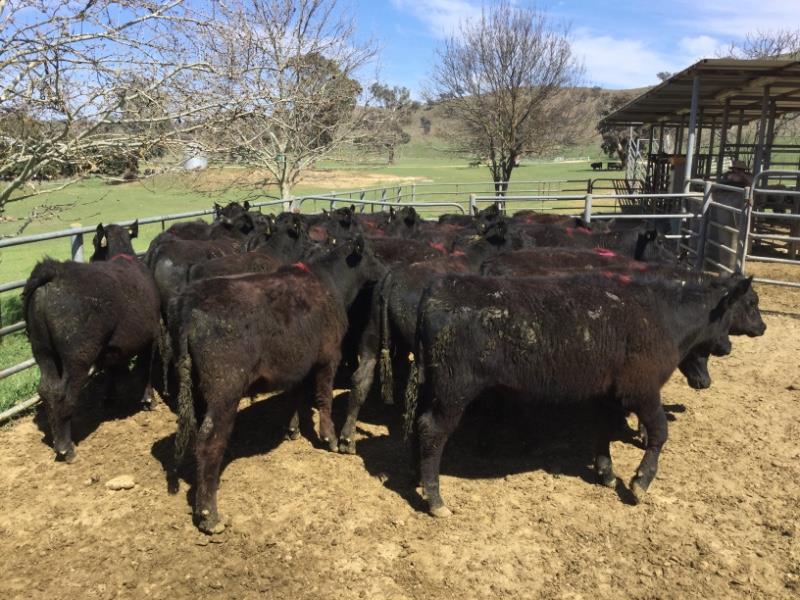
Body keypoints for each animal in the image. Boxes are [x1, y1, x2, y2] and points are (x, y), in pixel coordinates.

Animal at [23, 221, 160, 463]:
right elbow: (147, 370)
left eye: (95, 242)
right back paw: (65, 447)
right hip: (78, 355)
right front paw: (148, 400)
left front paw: (109, 396)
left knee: (47, 389)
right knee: (63, 394)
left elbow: (112, 368)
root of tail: (54, 274)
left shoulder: (114, 346)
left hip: (42, 350)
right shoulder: (151, 337)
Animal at [169, 236, 386, 534]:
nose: (386, 270)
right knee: (208, 441)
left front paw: (293, 429)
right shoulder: (328, 356)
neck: (330, 282)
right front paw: (329, 437)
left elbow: (295, 395)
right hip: (225, 390)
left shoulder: (298, 364)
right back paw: (209, 514)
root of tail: (189, 299)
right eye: (374, 254)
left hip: (196, 388)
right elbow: (324, 397)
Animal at [407, 272, 754, 517]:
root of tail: (438, 289)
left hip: (432, 389)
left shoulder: (608, 395)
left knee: (418, 427)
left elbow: (602, 431)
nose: (729, 346)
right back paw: (436, 499)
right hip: (452, 392)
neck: (662, 316)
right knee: (432, 431)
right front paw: (640, 482)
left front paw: (606, 473)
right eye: (745, 305)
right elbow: (659, 432)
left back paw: (419, 480)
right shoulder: (640, 391)